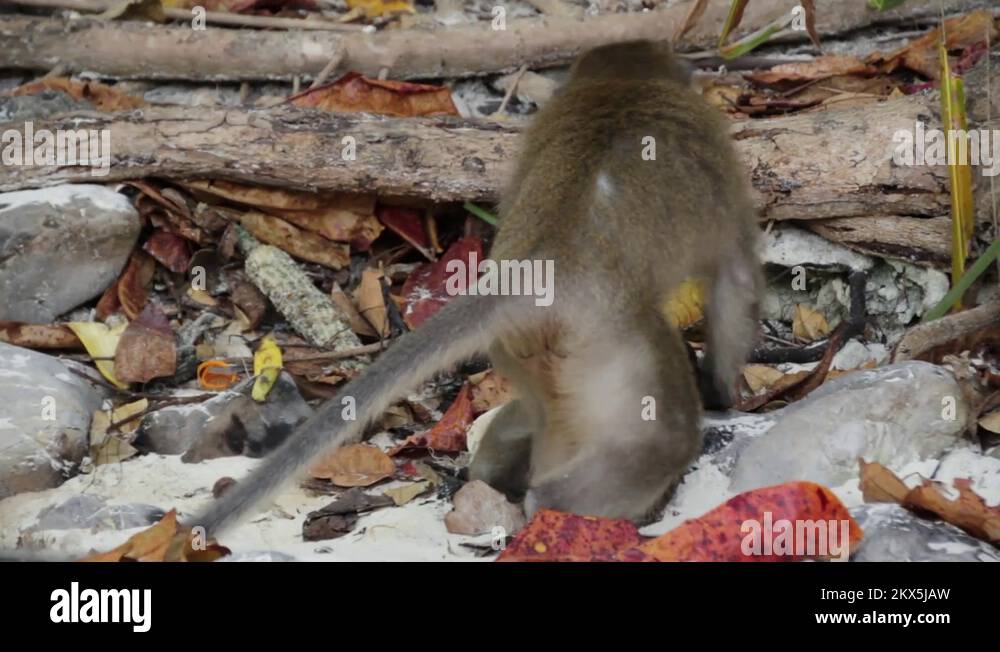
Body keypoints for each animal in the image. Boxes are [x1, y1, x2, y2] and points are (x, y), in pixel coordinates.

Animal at [186, 40, 761, 536]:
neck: (623, 80)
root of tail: (541, 266)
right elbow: (734, 276)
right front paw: (722, 390)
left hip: (519, 348)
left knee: (544, 415)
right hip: (611, 346)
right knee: (664, 435)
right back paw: (557, 508)